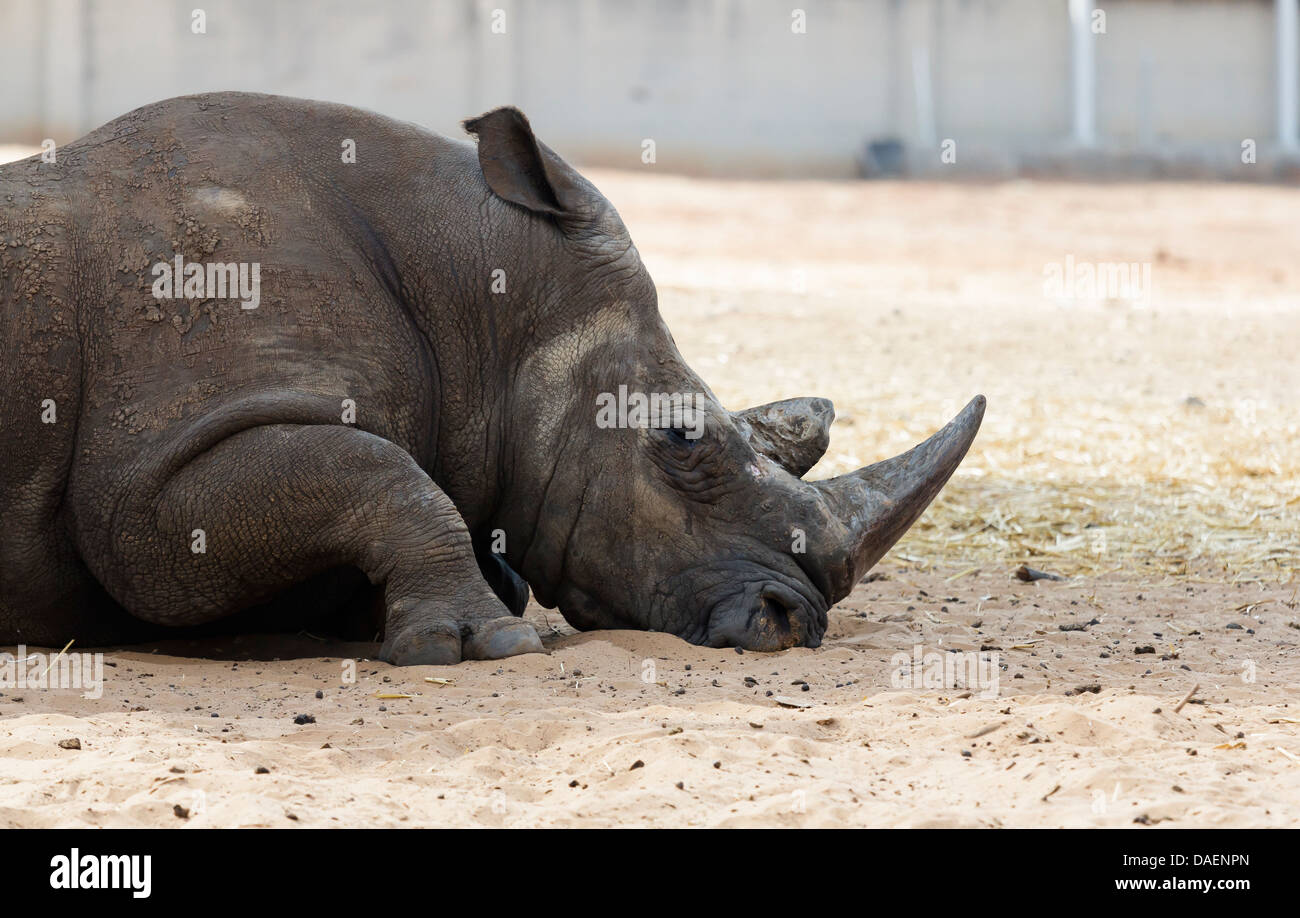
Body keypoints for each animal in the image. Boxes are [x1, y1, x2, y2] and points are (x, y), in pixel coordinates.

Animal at [0, 93, 984, 665]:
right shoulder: (154, 477)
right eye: (678, 439)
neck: (477, 299)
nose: (792, 621)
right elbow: (381, 477)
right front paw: (487, 643)